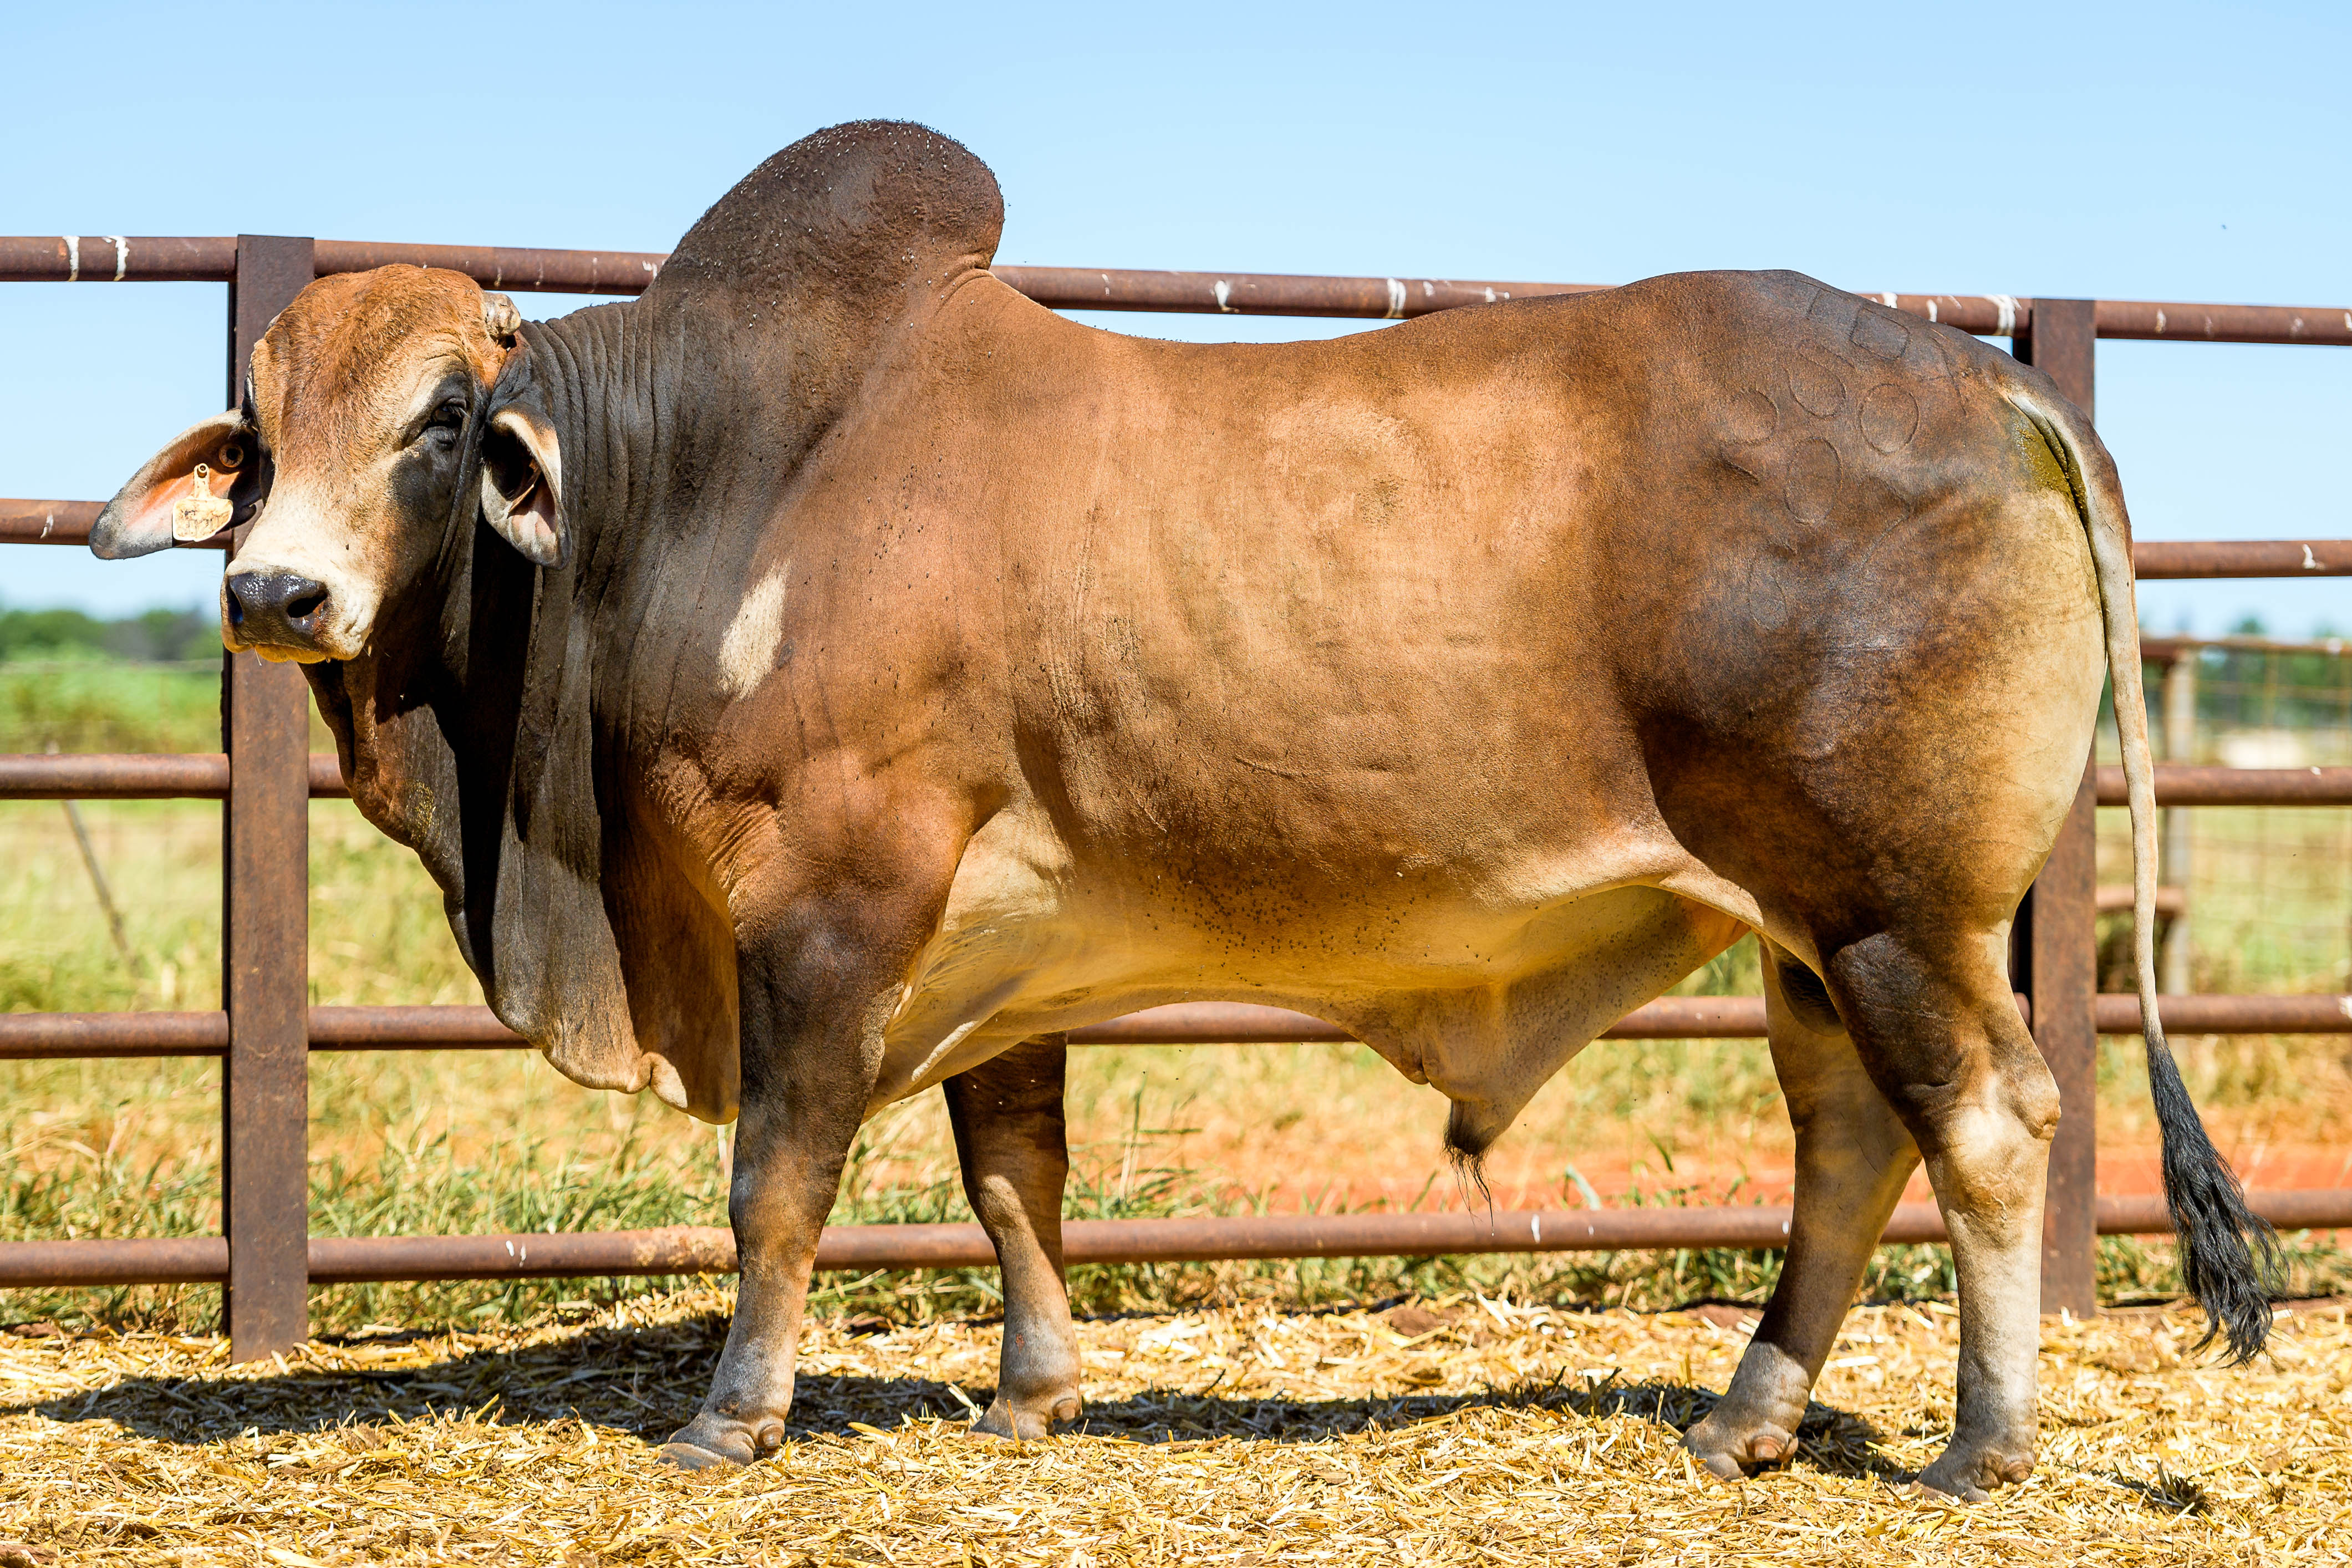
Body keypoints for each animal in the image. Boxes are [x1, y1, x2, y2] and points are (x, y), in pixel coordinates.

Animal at [93, 121, 2274, 1499]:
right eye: (259, 433)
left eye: (440, 423)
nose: (273, 593)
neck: (715, 489)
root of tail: (1986, 381)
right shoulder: (994, 952)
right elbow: (1011, 1177)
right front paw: (1031, 1397)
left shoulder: (829, 907)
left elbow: (778, 1178)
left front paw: (731, 1417)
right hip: (1802, 928)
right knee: (1845, 1140)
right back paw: (1743, 1416)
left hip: (1894, 906)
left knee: (1985, 1125)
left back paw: (1980, 1443)